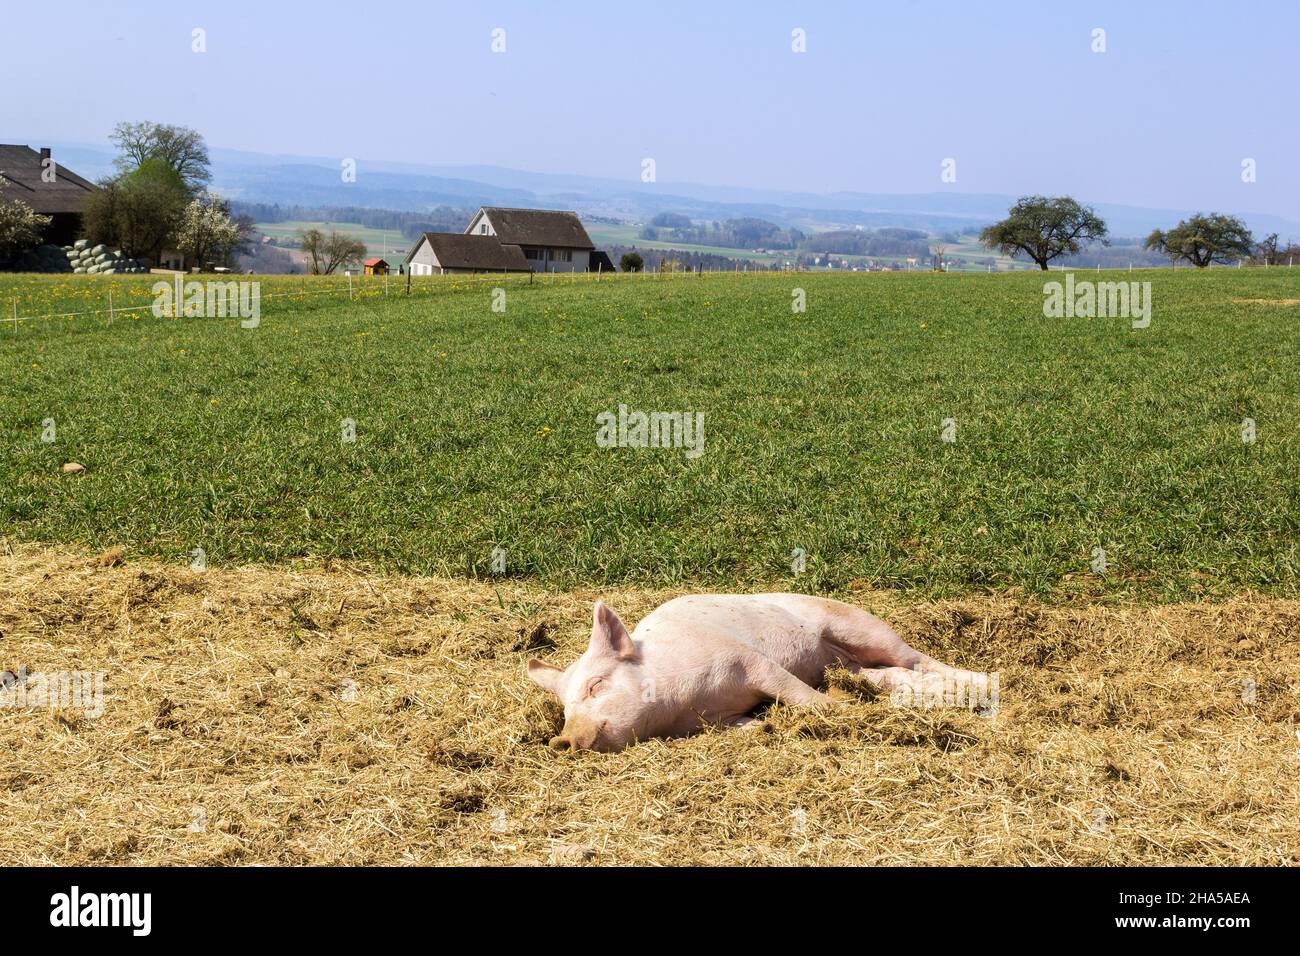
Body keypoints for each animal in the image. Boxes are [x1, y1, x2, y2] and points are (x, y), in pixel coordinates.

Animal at [527, 593, 990, 752]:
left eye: (596, 685)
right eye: (565, 709)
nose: (561, 740)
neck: (682, 707)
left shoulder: (747, 661)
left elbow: (797, 693)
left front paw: (838, 710)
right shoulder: (717, 718)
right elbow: (742, 725)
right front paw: (764, 727)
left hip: (860, 625)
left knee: (915, 657)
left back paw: (980, 682)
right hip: (852, 662)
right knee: (889, 675)